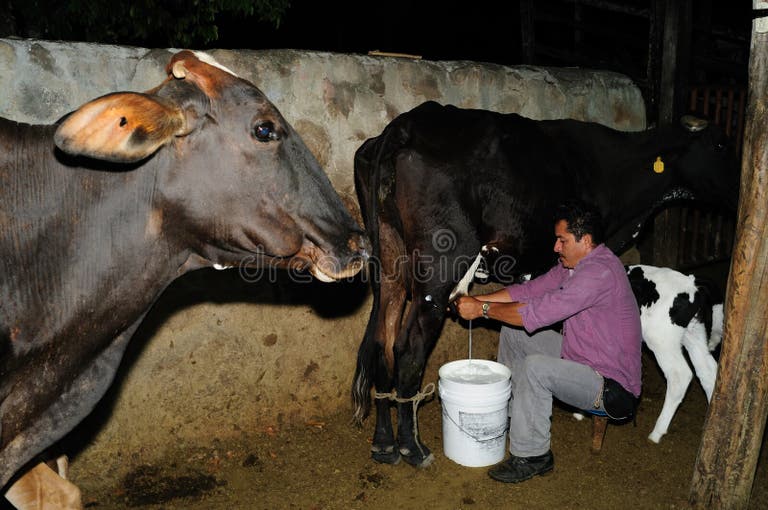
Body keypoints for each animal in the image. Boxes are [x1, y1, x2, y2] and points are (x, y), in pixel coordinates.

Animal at [351, 101, 738, 468]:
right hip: (439, 268)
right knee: (408, 349)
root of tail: (407, 123)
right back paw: (412, 447)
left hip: (389, 264)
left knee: (382, 343)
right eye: (720, 144)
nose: (737, 195)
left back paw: (383, 443)